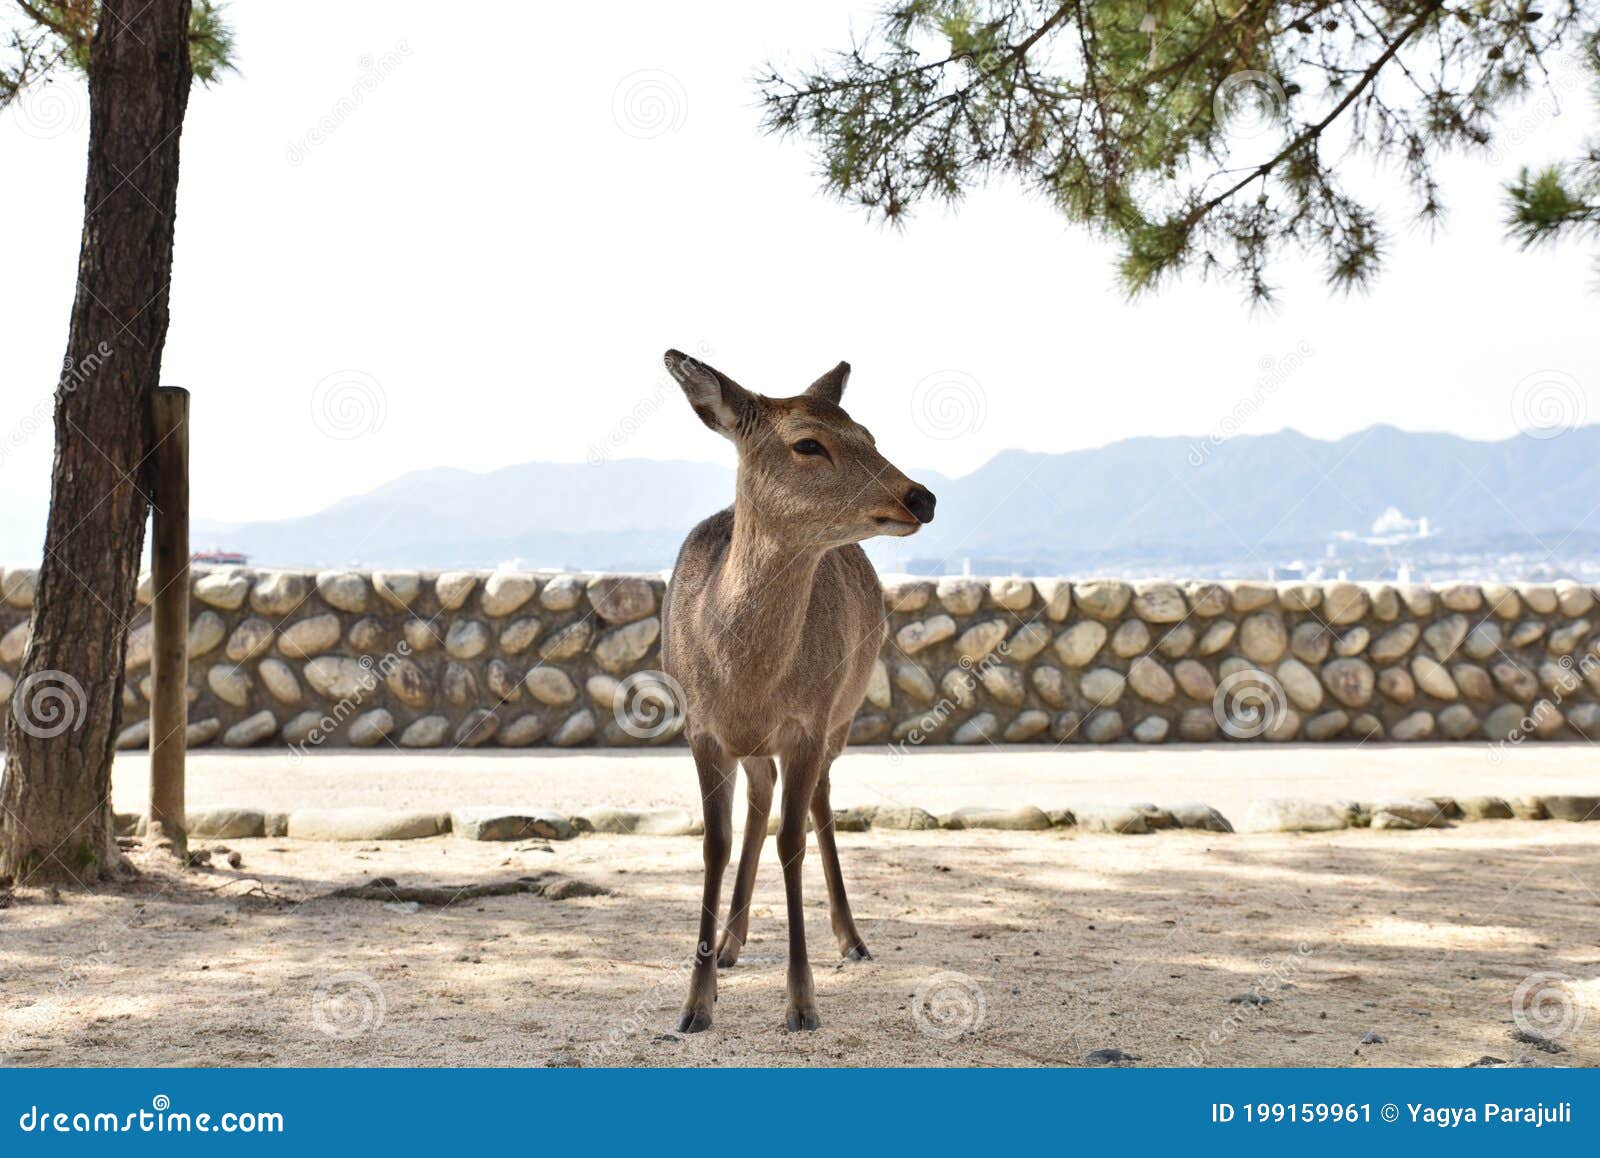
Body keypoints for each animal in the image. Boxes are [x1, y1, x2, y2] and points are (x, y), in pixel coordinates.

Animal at [659, 349, 937, 1033]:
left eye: (868, 435)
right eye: (808, 443)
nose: (922, 497)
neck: (747, 677)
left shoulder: (808, 724)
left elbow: (793, 841)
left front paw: (802, 1003)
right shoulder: (701, 730)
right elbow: (716, 843)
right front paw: (694, 1006)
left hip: (844, 712)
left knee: (818, 804)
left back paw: (852, 939)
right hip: (760, 745)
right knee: (760, 804)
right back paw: (730, 944)